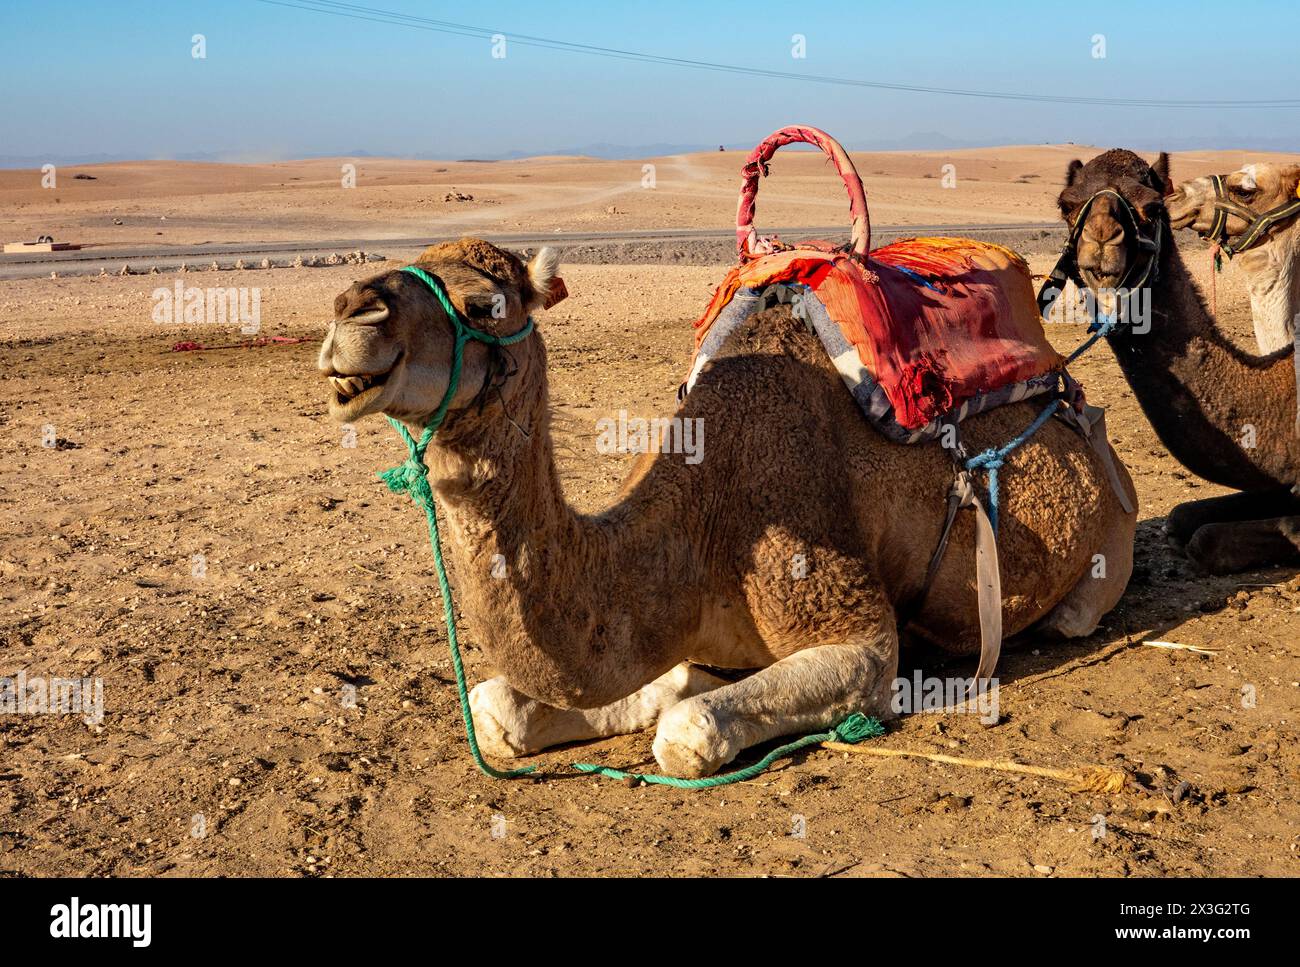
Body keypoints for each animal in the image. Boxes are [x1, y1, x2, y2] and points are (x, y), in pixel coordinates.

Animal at [318, 236, 1135, 778]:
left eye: (484, 304)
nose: (351, 311)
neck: (698, 524)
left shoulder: (857, 631)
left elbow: (686, 728)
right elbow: (500, 712)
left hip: (1104, 553)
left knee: (1072, 613)